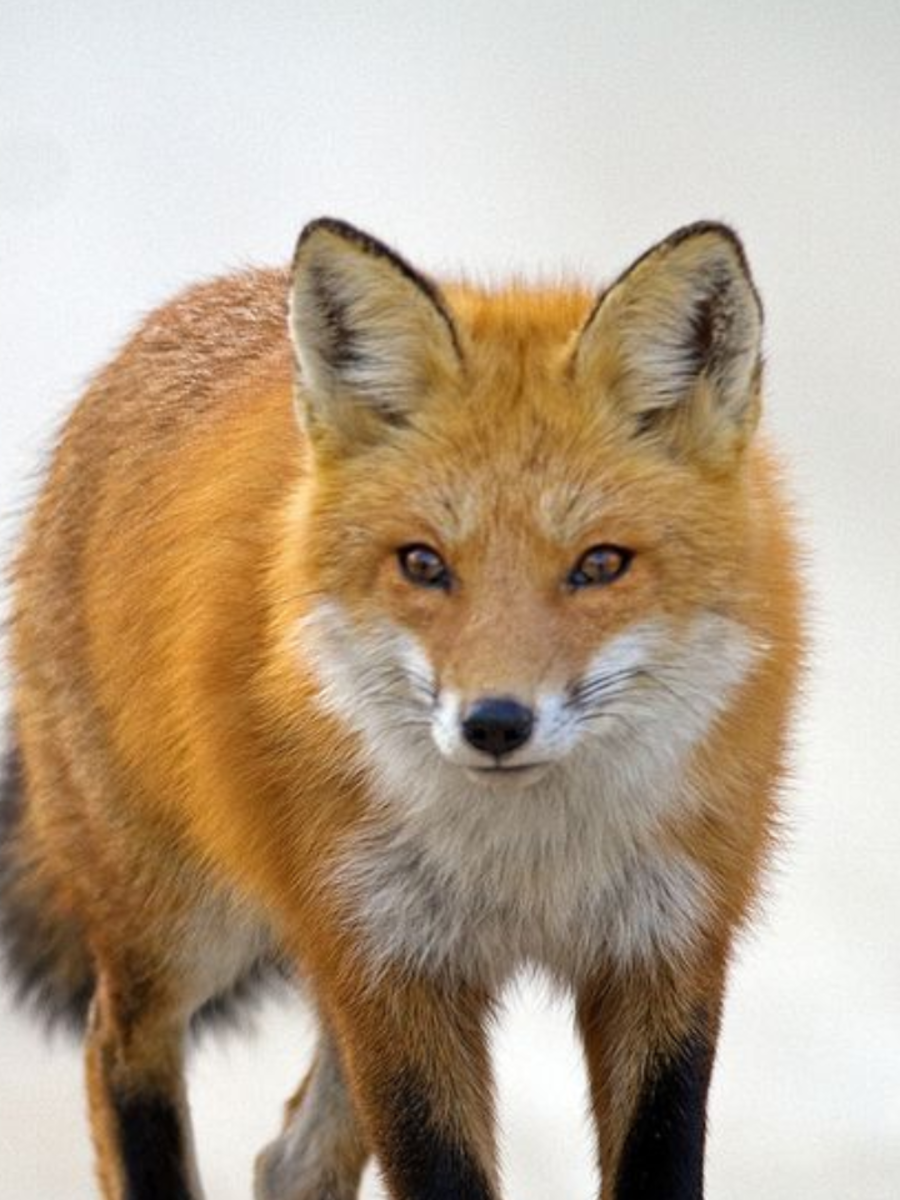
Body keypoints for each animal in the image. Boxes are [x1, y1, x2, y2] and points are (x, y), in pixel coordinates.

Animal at [0, 216, 804, 1200]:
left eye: (600, 564)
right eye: (424, 564)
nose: (494, 722)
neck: (530, 867)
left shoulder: (666, 954)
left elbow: (662, 1161)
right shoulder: (388, 969)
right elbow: (441, 1173)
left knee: (289, 1160)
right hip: (179, 929)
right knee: (120, 1055)